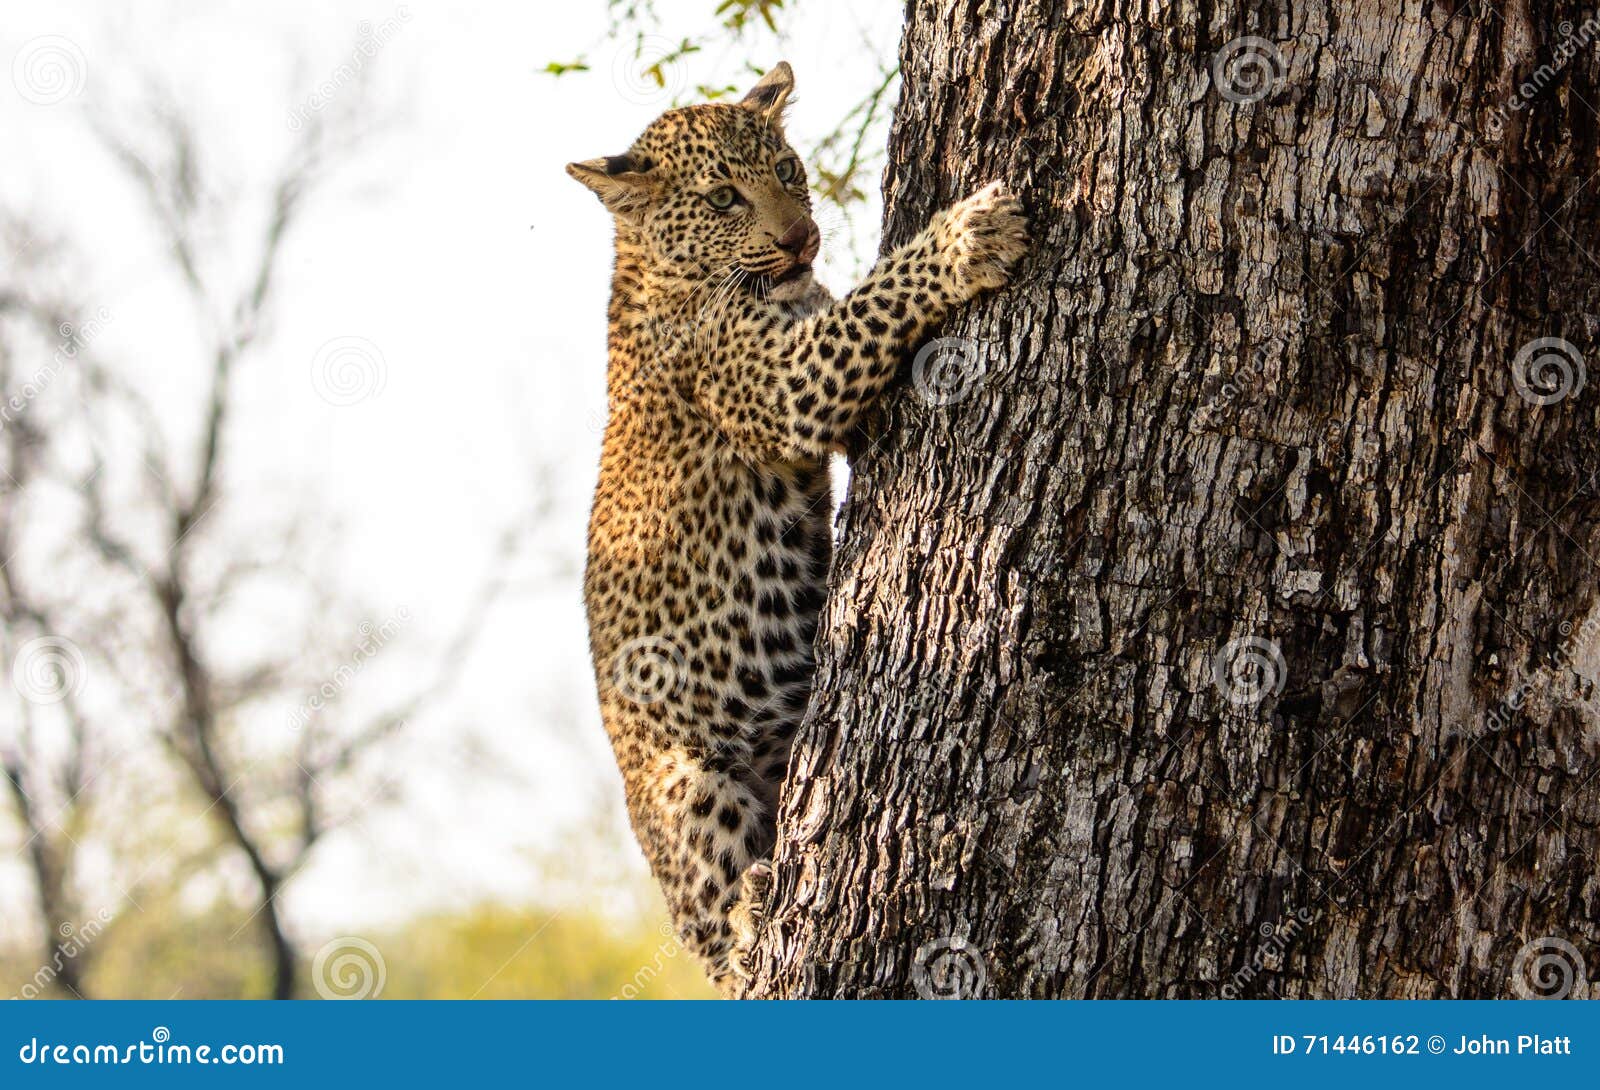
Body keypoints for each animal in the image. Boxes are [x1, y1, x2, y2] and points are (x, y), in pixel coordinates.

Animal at [569, 61, 1029, 996]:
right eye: (721, 198)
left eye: (785, 169)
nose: (801, 238)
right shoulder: (789, 383)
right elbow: (875, 300)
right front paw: (967, 234)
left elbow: (853, 303)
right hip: (684, 786)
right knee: (724, 942)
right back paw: (750, 914)